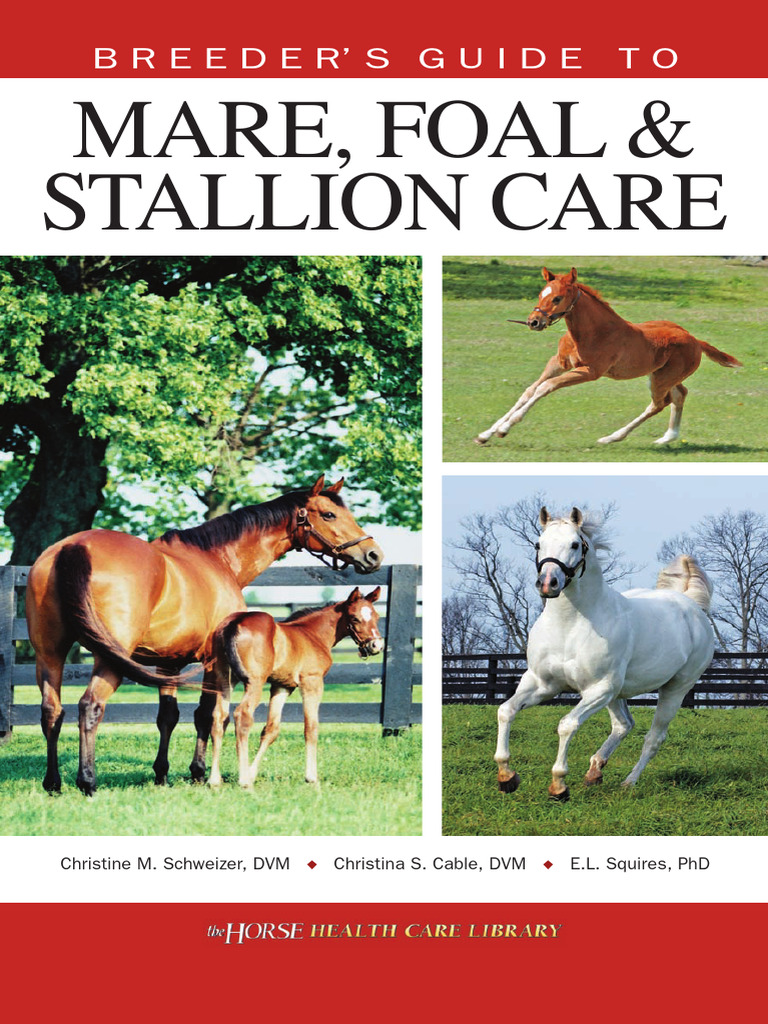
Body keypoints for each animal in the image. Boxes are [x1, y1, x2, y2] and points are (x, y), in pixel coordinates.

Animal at [207, 587, 383, 788]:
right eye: (354, 618)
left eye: (376, 616)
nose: (376, 645)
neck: (312, 634)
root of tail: (235, 622)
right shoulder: (312, 682)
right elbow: (311, 727)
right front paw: (311, 776)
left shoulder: (281, 686)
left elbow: (271, 730)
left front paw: (252, 773)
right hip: (255, 682)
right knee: (242, 715)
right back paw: (243, 781)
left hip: (224, 679)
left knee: (219, 717)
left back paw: (214, 779)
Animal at [474, 267, 742, 447]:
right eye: (541, 293)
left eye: (557, 298)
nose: (534, 322)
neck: (593, 332)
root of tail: (695, 339)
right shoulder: (558, 363)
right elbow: (529, 390)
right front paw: (486, 434)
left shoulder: (590, 372)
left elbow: (545, 388)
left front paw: (505, 428)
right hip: (663, 376)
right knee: (679, 395)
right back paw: (667, 437)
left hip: (661, 379)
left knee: (659, 403)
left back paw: (611, 437)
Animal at [493, 507, 715, 800]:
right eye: (538, 544)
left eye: (575, 544)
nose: (548, 583)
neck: (569, 626)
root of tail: (691, 605)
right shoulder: (542, 683)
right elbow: (506, 711)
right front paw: (506, 777)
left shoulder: (598, 688)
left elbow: (567, 724)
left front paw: (559, 785)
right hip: (618, 693)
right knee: (624, 725)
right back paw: (594, 771)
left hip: (674, 688)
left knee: (653, 738)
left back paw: (628, 783)